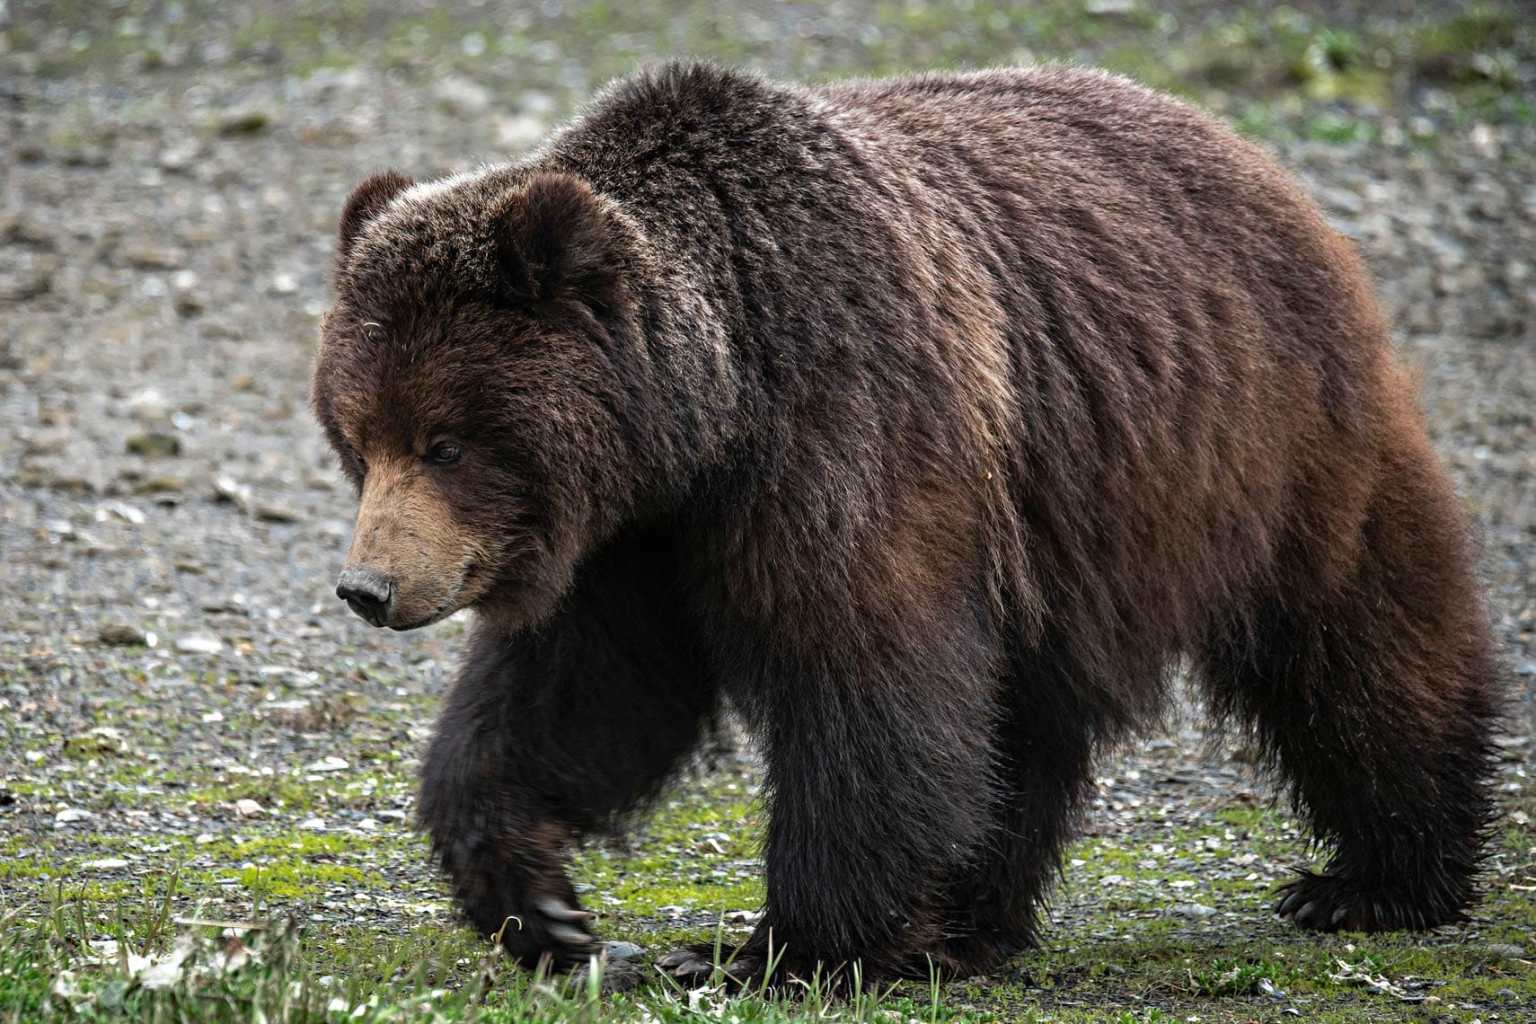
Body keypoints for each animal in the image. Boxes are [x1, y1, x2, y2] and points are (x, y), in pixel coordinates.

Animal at [311, 62, 1502, 987]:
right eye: (357, 436)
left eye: (445, 442)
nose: (368, 588)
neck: (710, 413)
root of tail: (1251, 155)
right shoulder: (632, 541)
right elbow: (585, 694)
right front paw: (541, 900)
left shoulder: (849, 432)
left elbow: (866, 678)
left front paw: (776, 950)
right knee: (1024, 717)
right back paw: (975, 922)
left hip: (1254, 442)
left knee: (1354, 633)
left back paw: (1377, 879)